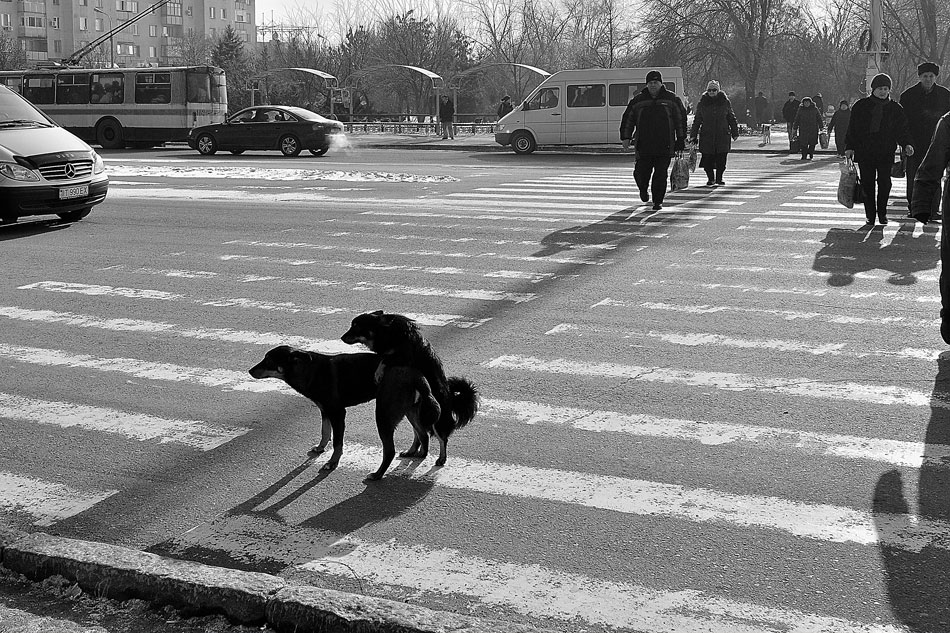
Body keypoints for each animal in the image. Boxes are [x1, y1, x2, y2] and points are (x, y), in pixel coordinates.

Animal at [249, 346, 384, 470]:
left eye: (269, 360)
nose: (249, 371)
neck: (310, 371)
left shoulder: (337, 413)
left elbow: (337, 443)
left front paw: (333, 461)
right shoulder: (325, 410)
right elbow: (325, 431)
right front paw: (320, 448)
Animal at [342, 312, 480, 478]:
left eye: (357, 327)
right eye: (352, 325)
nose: (342, 338)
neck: (388, 332)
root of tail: (452, 399)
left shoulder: (403, 355)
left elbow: (385, 359)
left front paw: (378, 372)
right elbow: (385, 357)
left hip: (435, 419)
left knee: (441, 438)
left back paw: (441, 458)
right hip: (415, 412)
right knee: (420, 434)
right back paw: (413, 451)